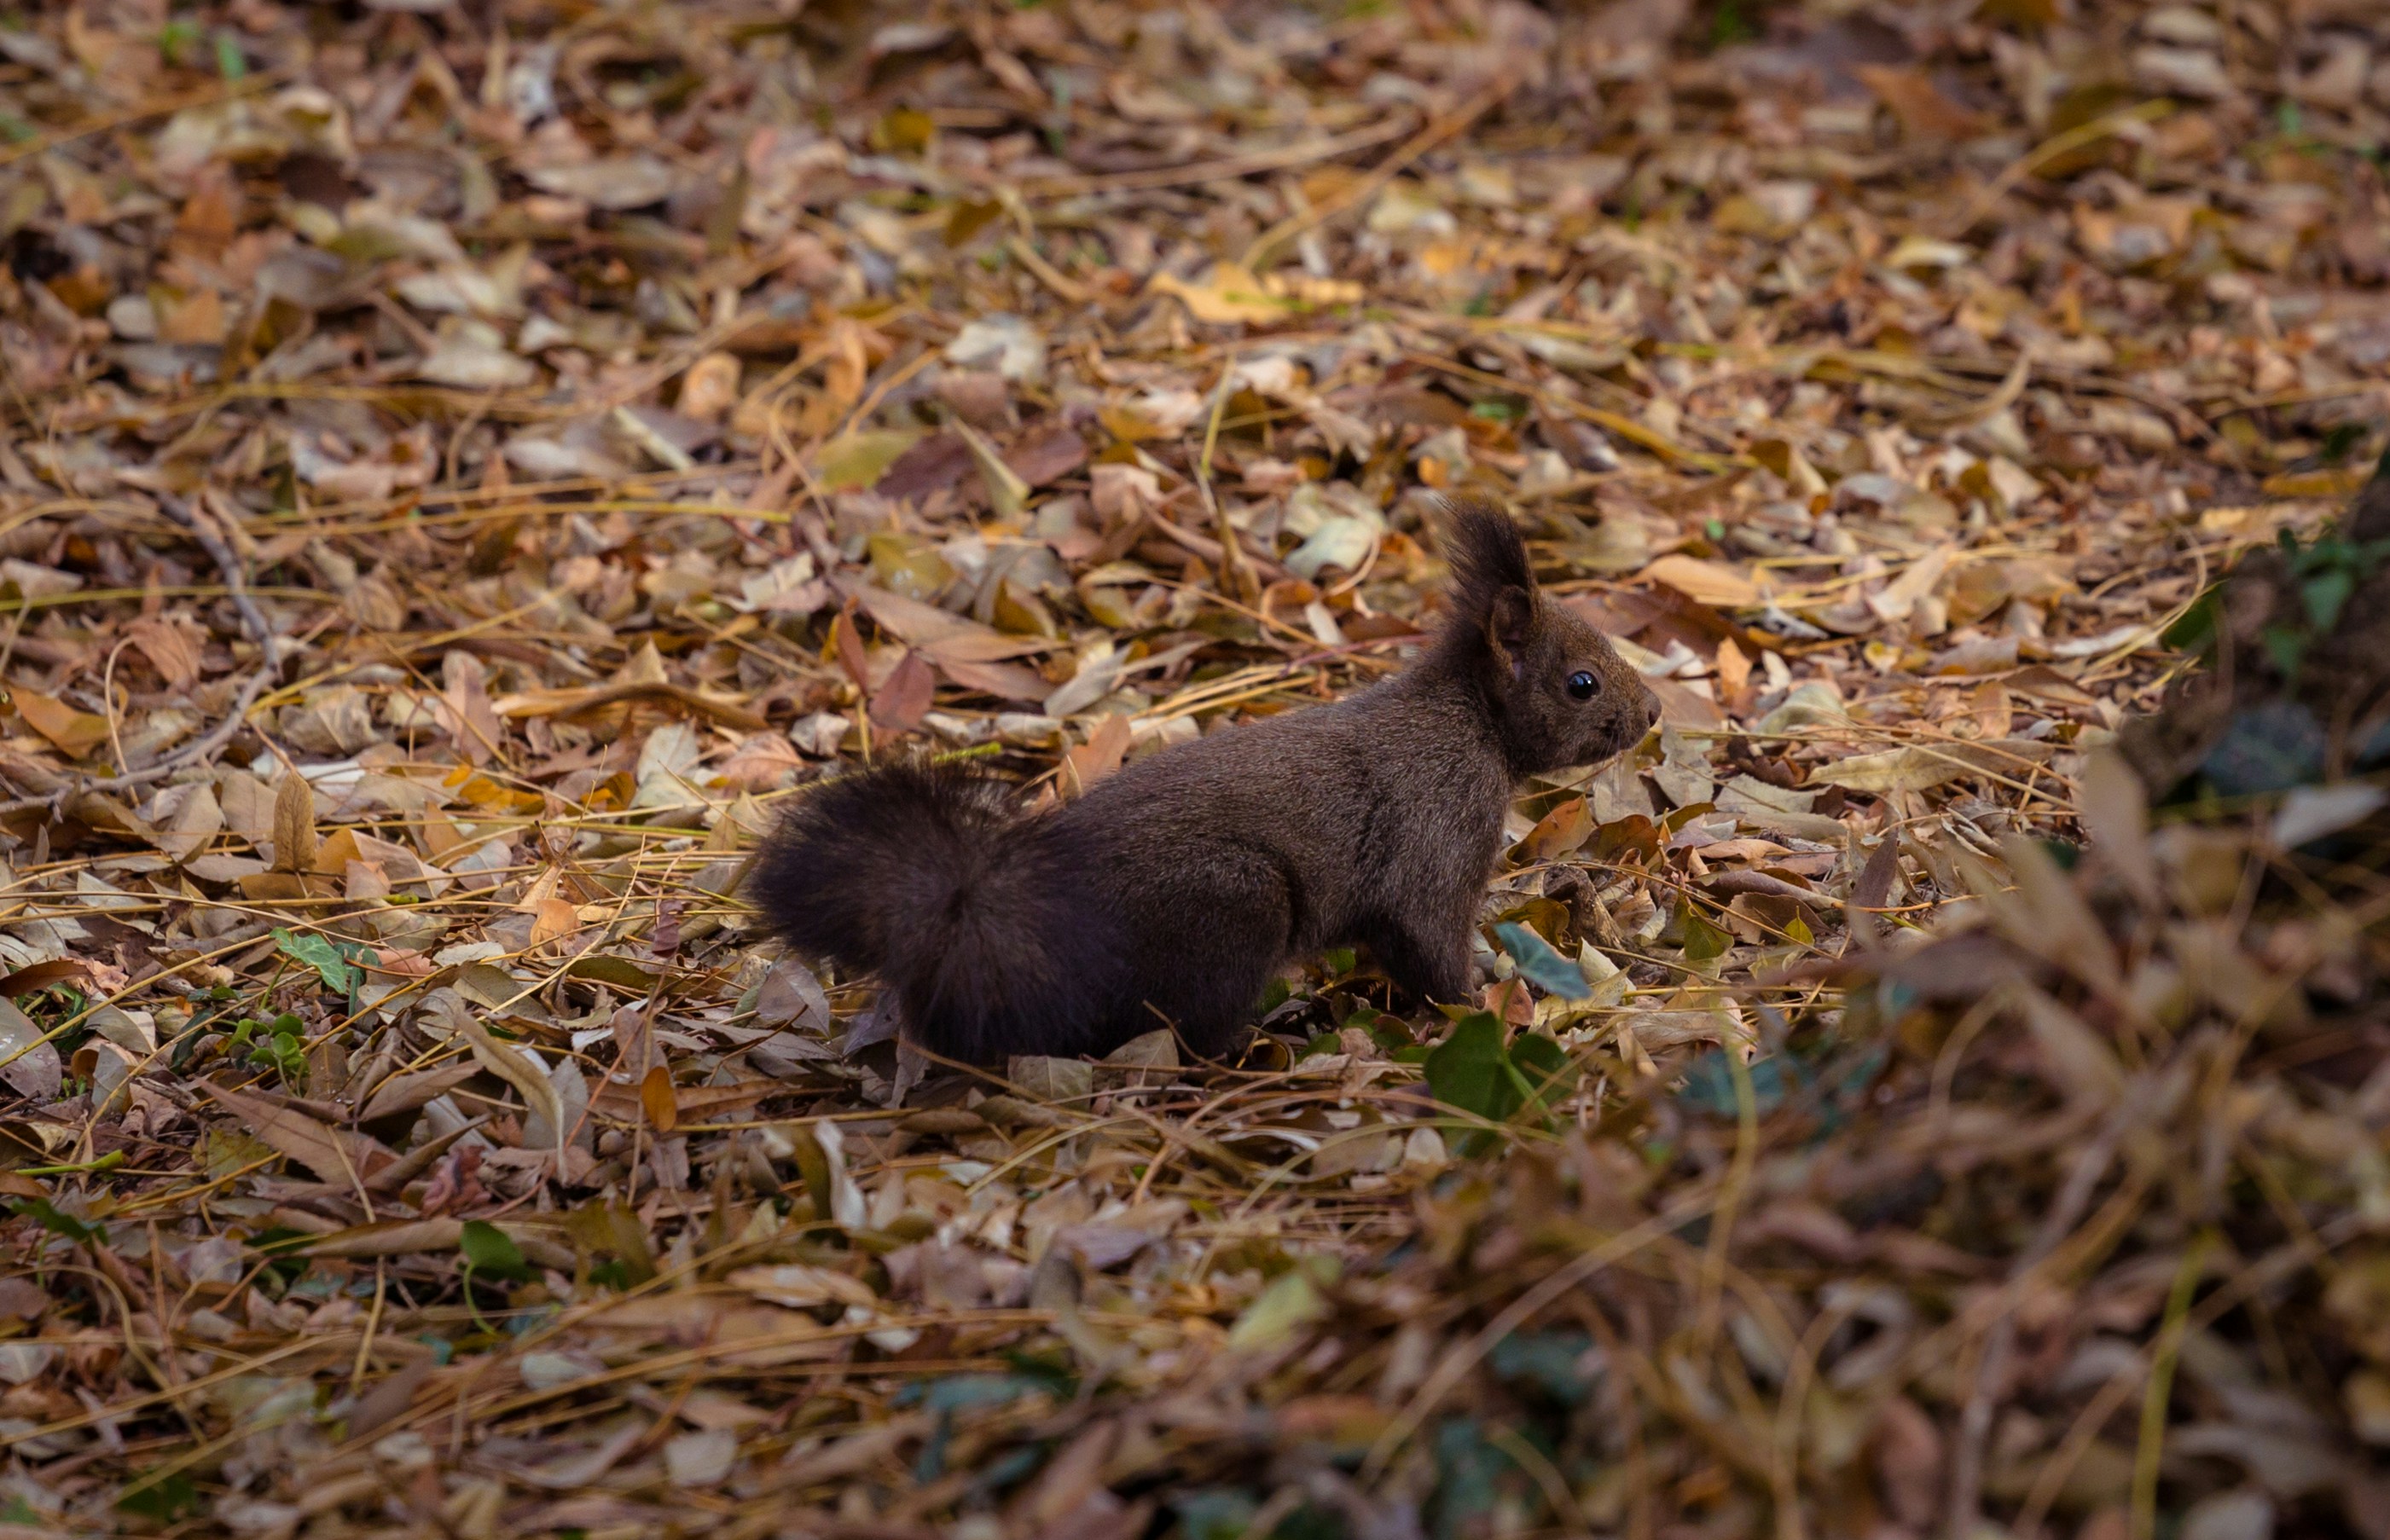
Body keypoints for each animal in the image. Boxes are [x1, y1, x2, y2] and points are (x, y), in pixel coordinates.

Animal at [747, 494, 1659, 1064]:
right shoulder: (1437, 833)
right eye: (1581, 682)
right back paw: (1267, 1036)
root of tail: (1019, 925)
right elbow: (1429, 940)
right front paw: (1487, 1001)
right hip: (1231, 904)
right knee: (1182, 1029)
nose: (1652, 711)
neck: (1471, 723)